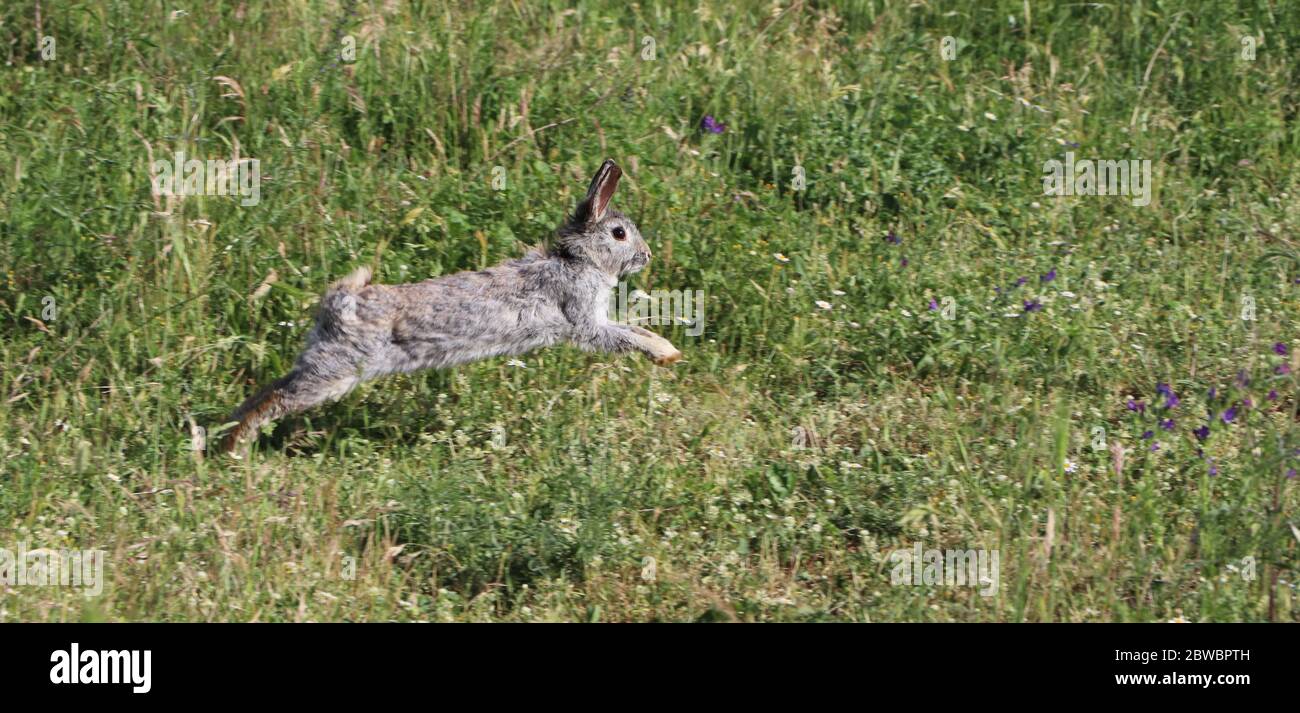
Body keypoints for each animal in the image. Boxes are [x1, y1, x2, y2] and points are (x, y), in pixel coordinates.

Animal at [219, 159, 681, 453]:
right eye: (620, 233)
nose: (647, 256)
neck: (577, 259)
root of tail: (339, 300)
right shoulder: (584, 318)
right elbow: (623, 336)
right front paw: (666, 353)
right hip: (339, 368)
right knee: (279, 399)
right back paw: (236, 448)